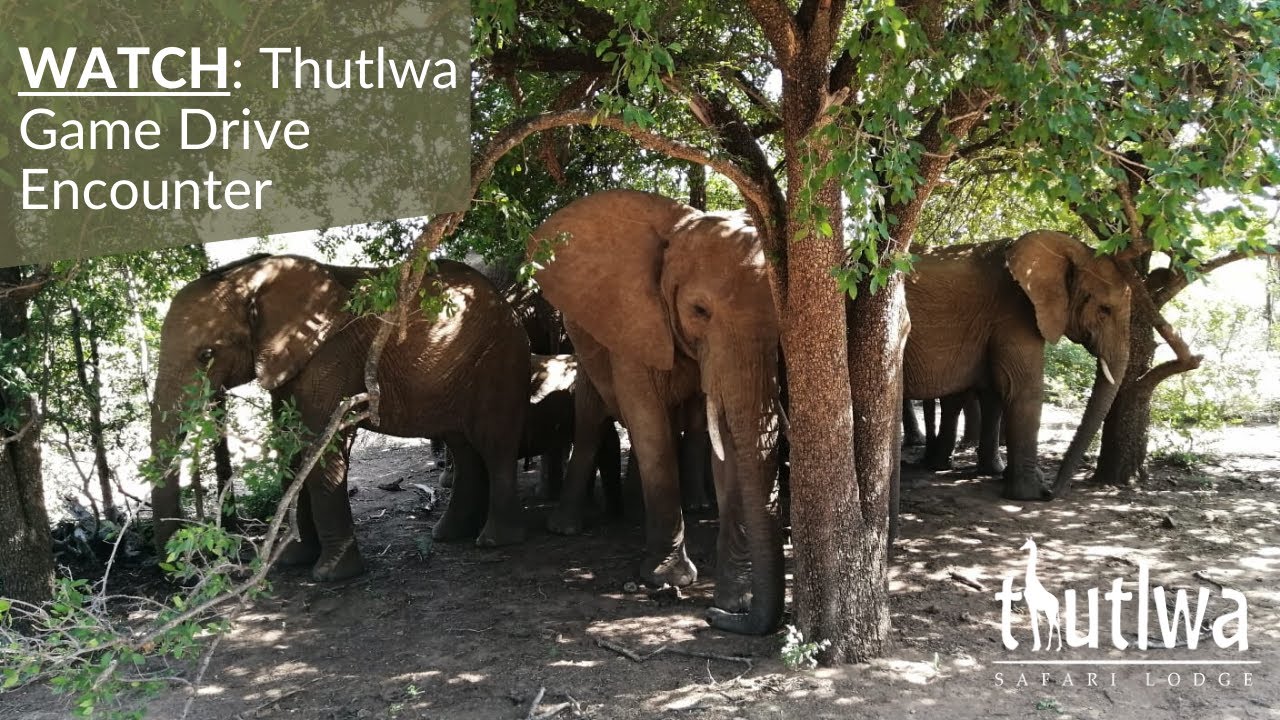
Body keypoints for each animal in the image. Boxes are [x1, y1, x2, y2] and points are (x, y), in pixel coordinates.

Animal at [149, 254, 531, 581]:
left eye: (206, 354)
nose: (183, 572)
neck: (254, 274)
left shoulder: (330, 359)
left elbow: (320, 448)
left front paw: (330, 575)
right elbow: (289, 449)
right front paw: (293, 562)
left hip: (498, 358)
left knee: (494, 443)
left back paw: (495, 540)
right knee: (462, 446)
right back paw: (448, 535)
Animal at [528, 189, 783, 635]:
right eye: (699, 310)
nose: (711, 619)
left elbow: (728, 444)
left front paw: (734, 600)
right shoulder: (631, 318)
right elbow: (649, 426)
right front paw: (667, 579)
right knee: (591, 422)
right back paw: (568, 526)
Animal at [901, 230, 1132, 500]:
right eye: (1105, 309)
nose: (1051, 491)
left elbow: (995, 393)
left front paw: (995, 473)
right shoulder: (1015, 312)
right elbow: (1023, 389)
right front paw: (1029, 493)